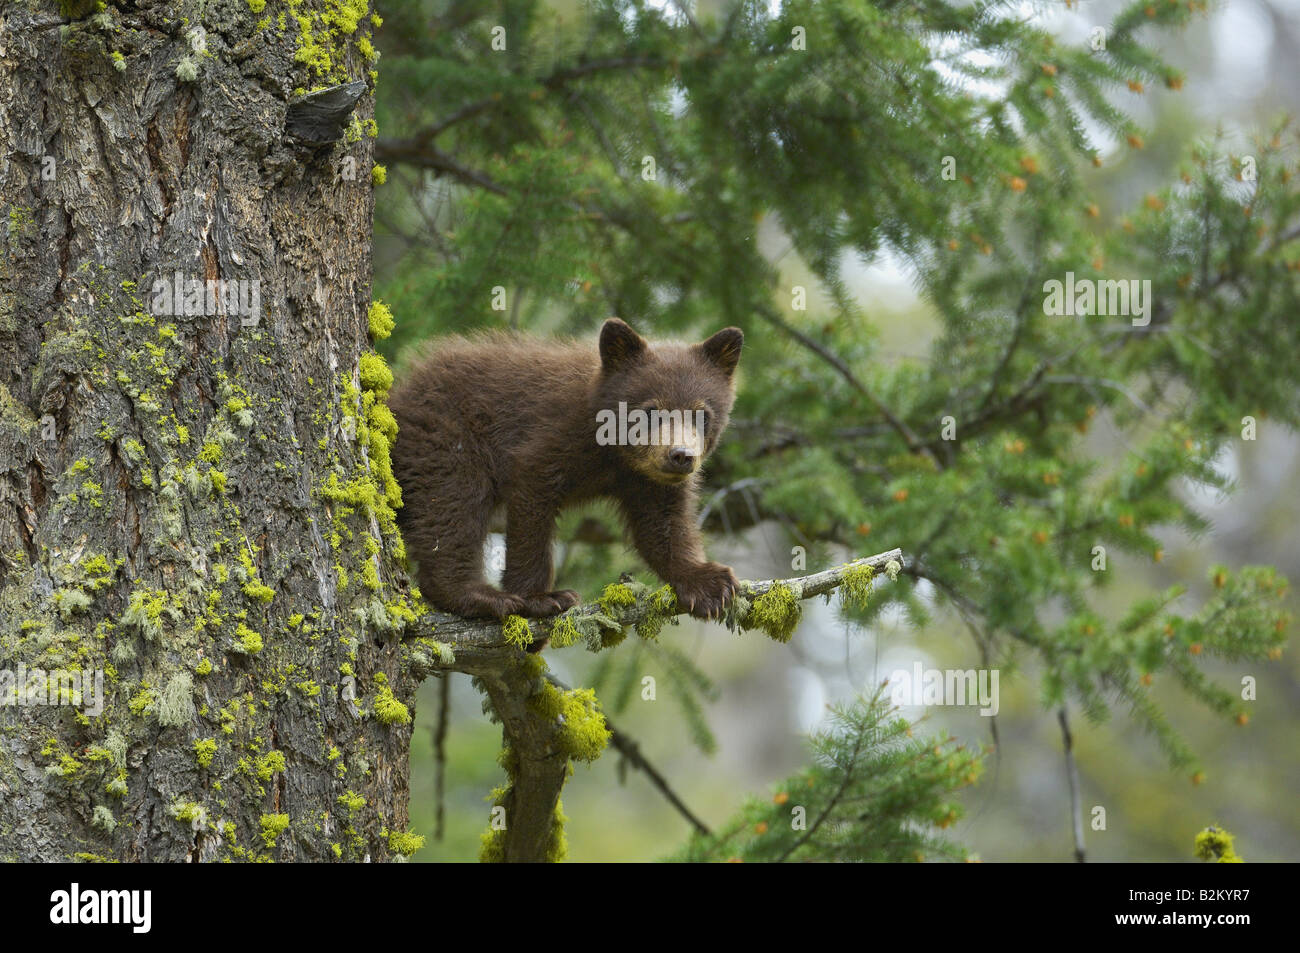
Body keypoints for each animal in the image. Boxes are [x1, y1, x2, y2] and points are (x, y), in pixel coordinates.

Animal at [389, 318, 743, 622]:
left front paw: (707, 583)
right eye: (650, 411)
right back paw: (480, 596)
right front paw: (541, 598)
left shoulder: (648, 481)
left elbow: (662, 525)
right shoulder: (554, 436)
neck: (615, 455)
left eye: (701, 413)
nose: (680, 456)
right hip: (445, 439)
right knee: (452, 506)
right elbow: (532, 502)